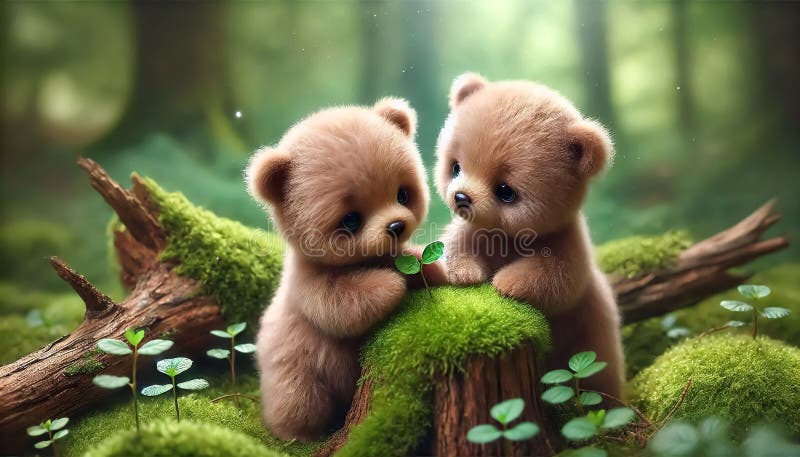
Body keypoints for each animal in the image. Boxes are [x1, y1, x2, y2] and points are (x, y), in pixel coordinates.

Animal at [245, 98, 432, 441]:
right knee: (300, 400)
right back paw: (299, 434)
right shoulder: (307, 279)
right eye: (350, 219)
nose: (396, 226)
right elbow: (339, 306)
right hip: (294, 365)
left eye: (402, 193)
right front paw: (391, 284)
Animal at [434, 72, 625, 398]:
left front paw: (506, 282)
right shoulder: (473, 229)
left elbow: (559, 278)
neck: (506, 235)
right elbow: (454, 247)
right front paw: (465, 273)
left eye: (505, 191)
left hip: (592, 340)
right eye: (456, 167)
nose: (461, 197)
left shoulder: (564, 239)